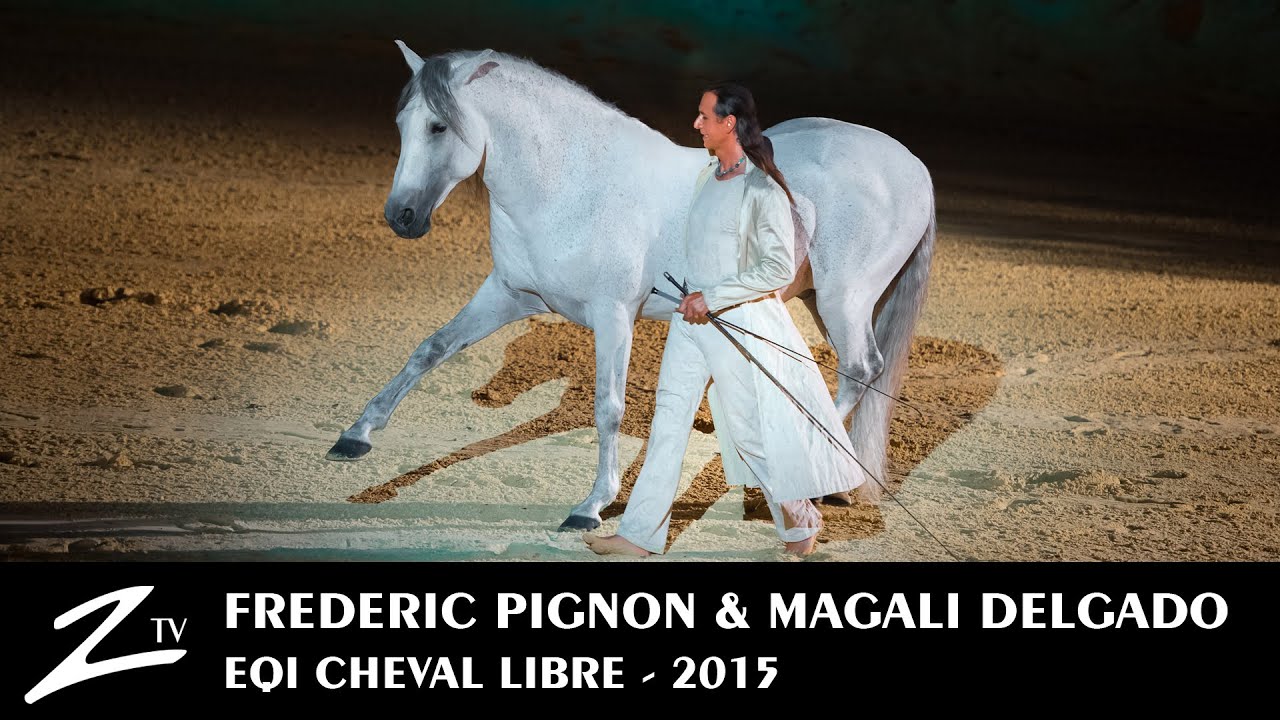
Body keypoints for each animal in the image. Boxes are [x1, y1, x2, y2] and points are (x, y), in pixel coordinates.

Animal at [326, 43, 936, 532]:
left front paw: (592, 506)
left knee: (859, 368)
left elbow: (609, 407)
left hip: (842, 299)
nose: (401, 217)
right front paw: (356, 436)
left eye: (438, 127)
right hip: (823, 301)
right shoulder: (508, 295)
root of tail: (914, 166)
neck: (569, 182)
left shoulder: (613, 314)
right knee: (854, 372)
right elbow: (430, 349)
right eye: (402, 123)